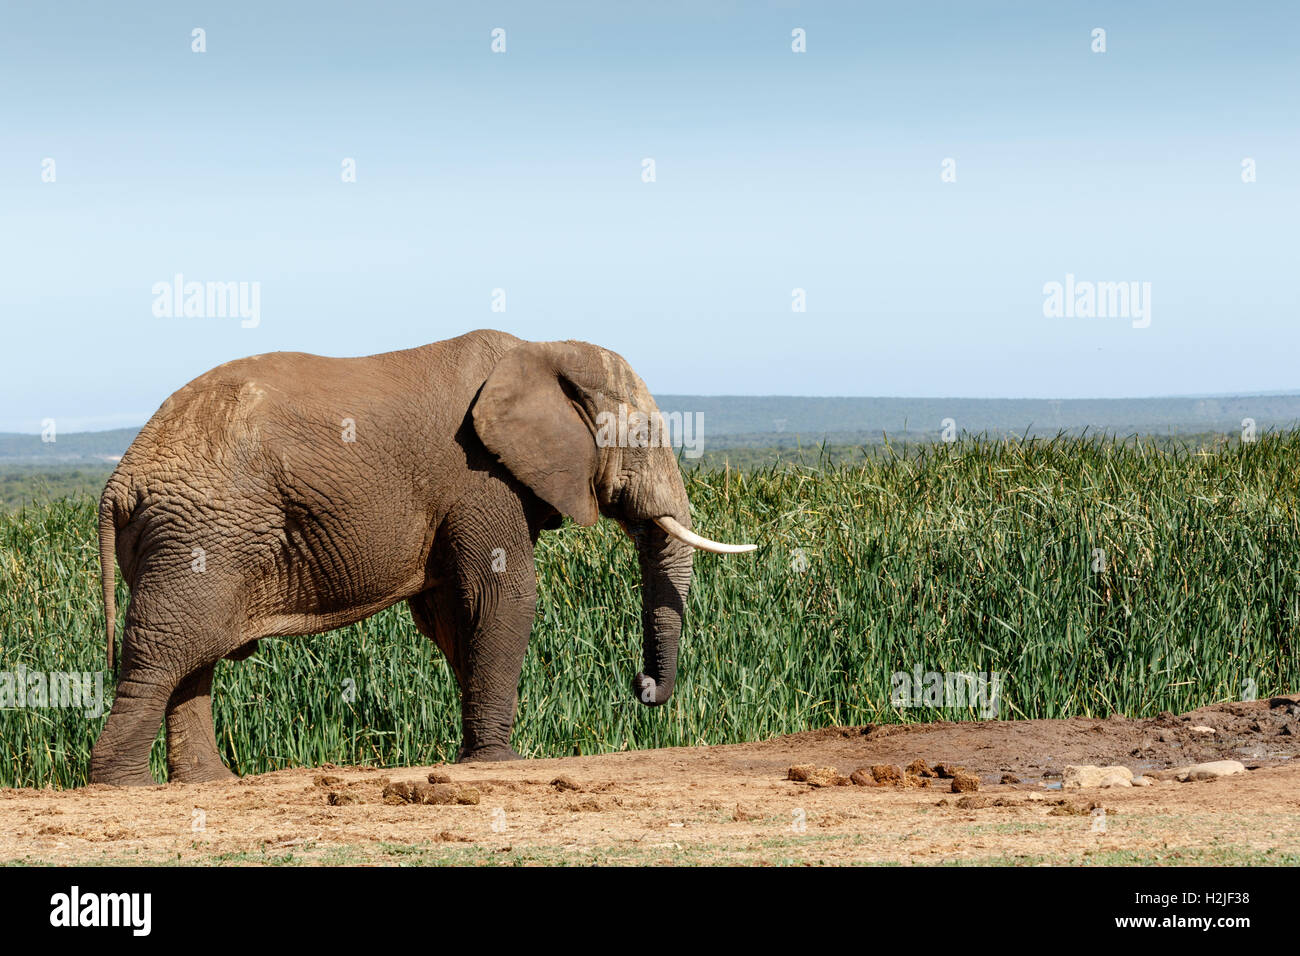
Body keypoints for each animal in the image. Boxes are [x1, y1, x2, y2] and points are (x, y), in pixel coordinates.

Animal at [88, 329, 755, 785]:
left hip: (196, 537)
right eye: (641, 437)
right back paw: (125, 786)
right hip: (202, 532)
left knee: (196, 653)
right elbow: (505, 594)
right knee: (167, 647)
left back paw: (210, 784)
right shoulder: (479, 475)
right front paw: (500, 760)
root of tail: (120, 479)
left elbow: (450, 615)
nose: (641, 686)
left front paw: (474, 754)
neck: (541, 351)